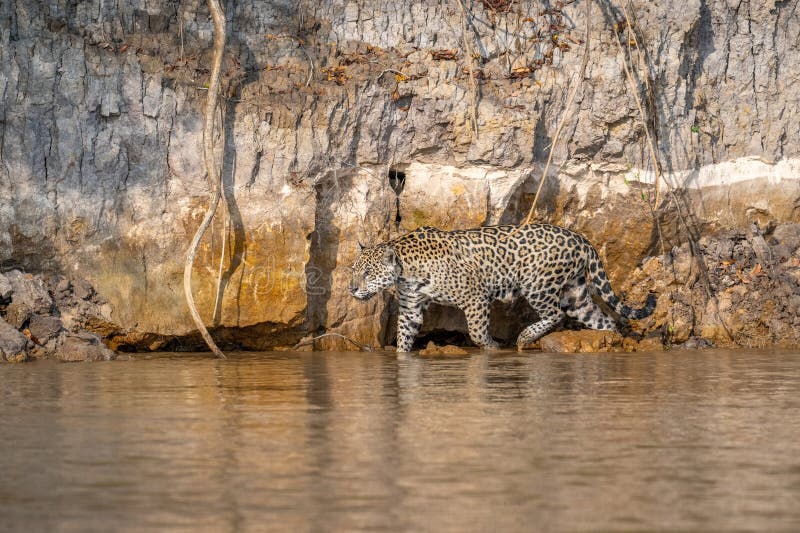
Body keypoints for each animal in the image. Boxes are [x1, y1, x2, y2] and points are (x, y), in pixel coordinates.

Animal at [349, 224, 656, 352]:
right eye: (354, 271)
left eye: (367, 273)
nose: (351, 289)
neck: (406, 270)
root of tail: (582, 239)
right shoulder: (411, 307)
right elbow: (403, 337)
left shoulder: (475, 298)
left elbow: (477, 332)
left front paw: (493, 348)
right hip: (577, 294)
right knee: (604, 320)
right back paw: (612, 341)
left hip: (537, 284)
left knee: (555, 314)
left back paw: (524, 338)